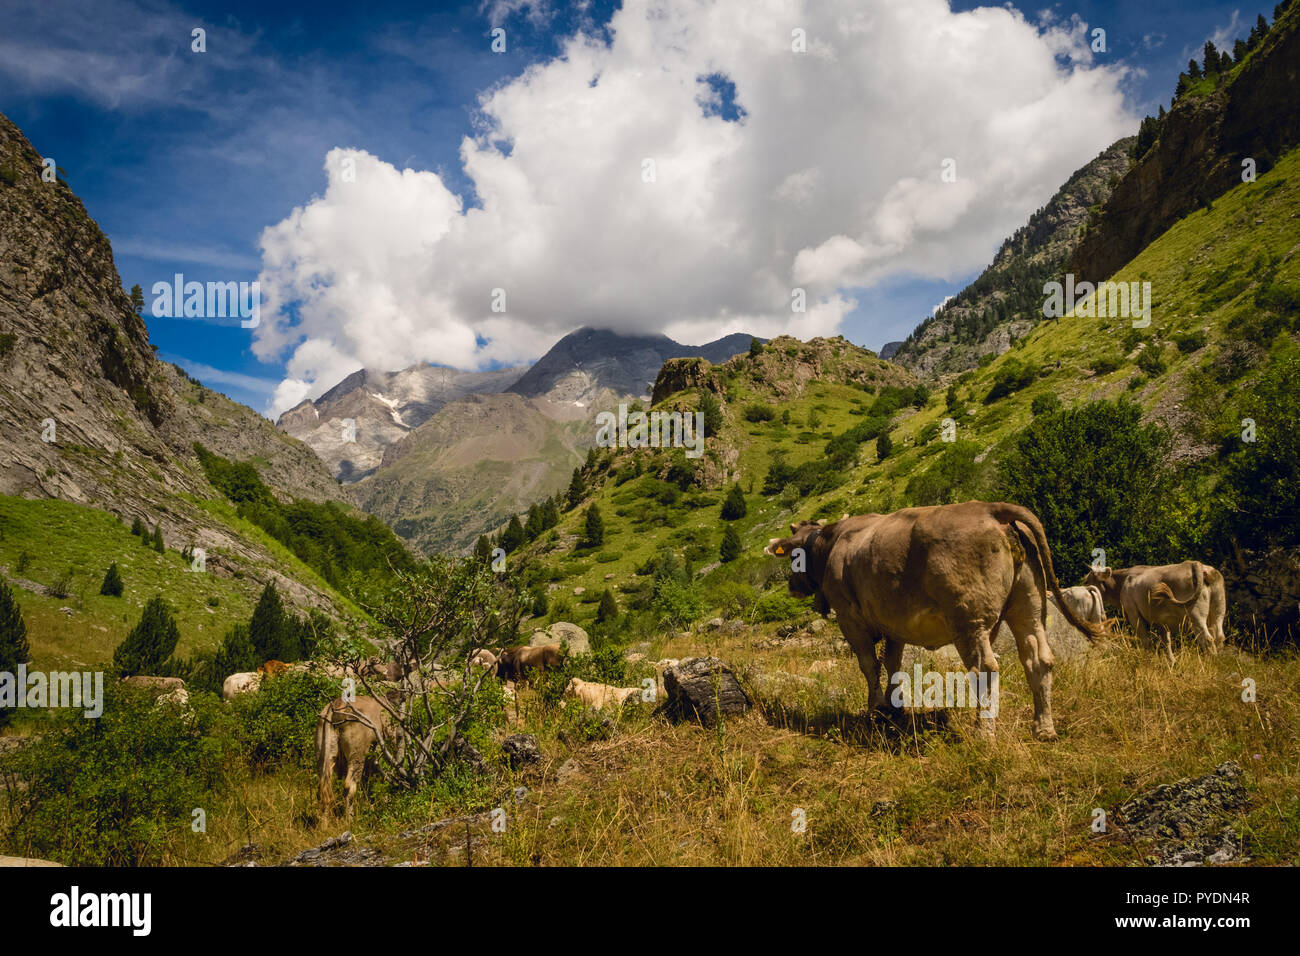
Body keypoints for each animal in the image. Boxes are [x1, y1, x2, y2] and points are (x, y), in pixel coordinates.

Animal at [765, 501, 1102, 741]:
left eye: (793, 556)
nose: (792, 587)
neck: (834, 544)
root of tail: (991, 507)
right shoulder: (893, 620)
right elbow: (893, 662)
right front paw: (894, 707)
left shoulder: (850, 618)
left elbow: (869, 665)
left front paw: (876, 709)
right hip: (1029, 603)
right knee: (1038, 659)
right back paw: (1043, 729)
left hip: (969, 617)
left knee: (985, 667)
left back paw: (983, 734)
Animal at [1084, 562, 1226, 660]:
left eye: (1086, 581)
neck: (1123, 582)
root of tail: (1196, 564)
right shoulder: (1161, 621)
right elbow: (1166, 642)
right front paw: (1172, 663)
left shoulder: (1133, 614)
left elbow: (1146, 641)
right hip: (1219, 610)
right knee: (1219, 636)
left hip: (1195, 615)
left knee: (1207, 639)